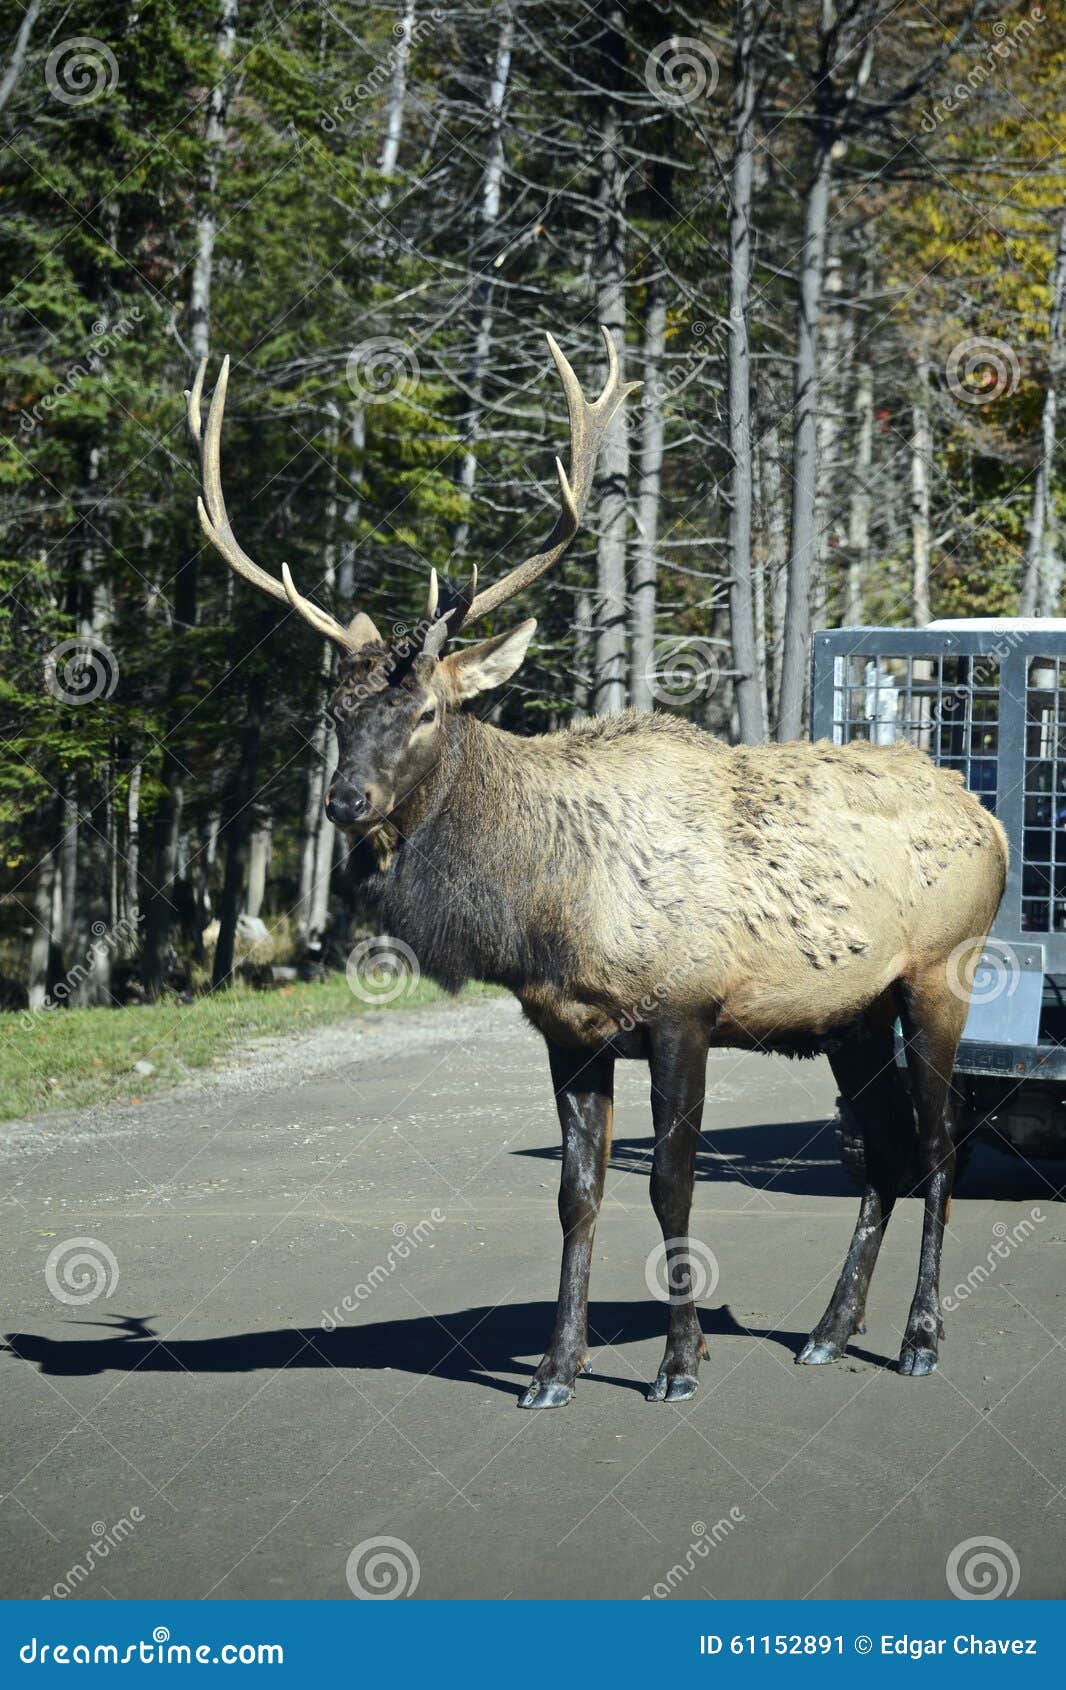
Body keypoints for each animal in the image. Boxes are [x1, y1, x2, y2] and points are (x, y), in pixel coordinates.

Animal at [185, 331, 1007, 1408]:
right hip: (849, 1013)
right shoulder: (566, 1030)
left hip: (940, 972)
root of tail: (988, 819)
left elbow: (669, 1181)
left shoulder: (684, 1008)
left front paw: (678, 1363)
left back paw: (917, 1337)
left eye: (427, 710)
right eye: (335, 712)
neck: (549, 912)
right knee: (881, 1153)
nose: (346, 803)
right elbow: (576, 1192)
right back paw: (830, 1330)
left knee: (941, 1146)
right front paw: (554, 1367)